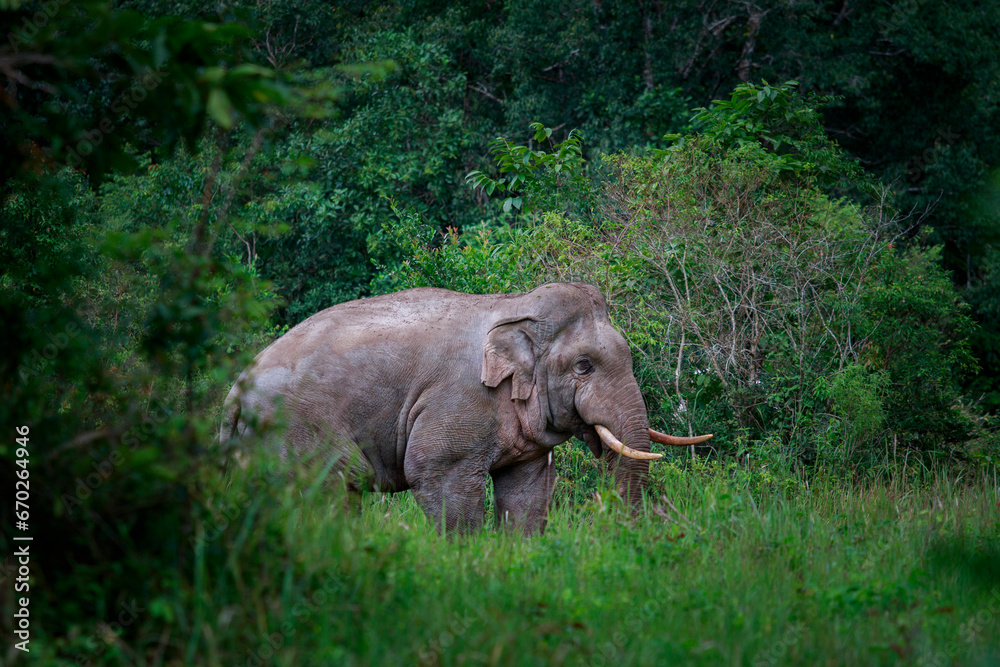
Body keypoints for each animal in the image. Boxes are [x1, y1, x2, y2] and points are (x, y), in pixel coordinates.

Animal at [220, 282, 711, 534]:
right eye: (584, 366)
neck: (515, 306)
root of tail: (234, 392)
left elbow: (527, 490)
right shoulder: (457, 404)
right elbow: (437, 475)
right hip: (297, 430)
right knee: (332, 488)